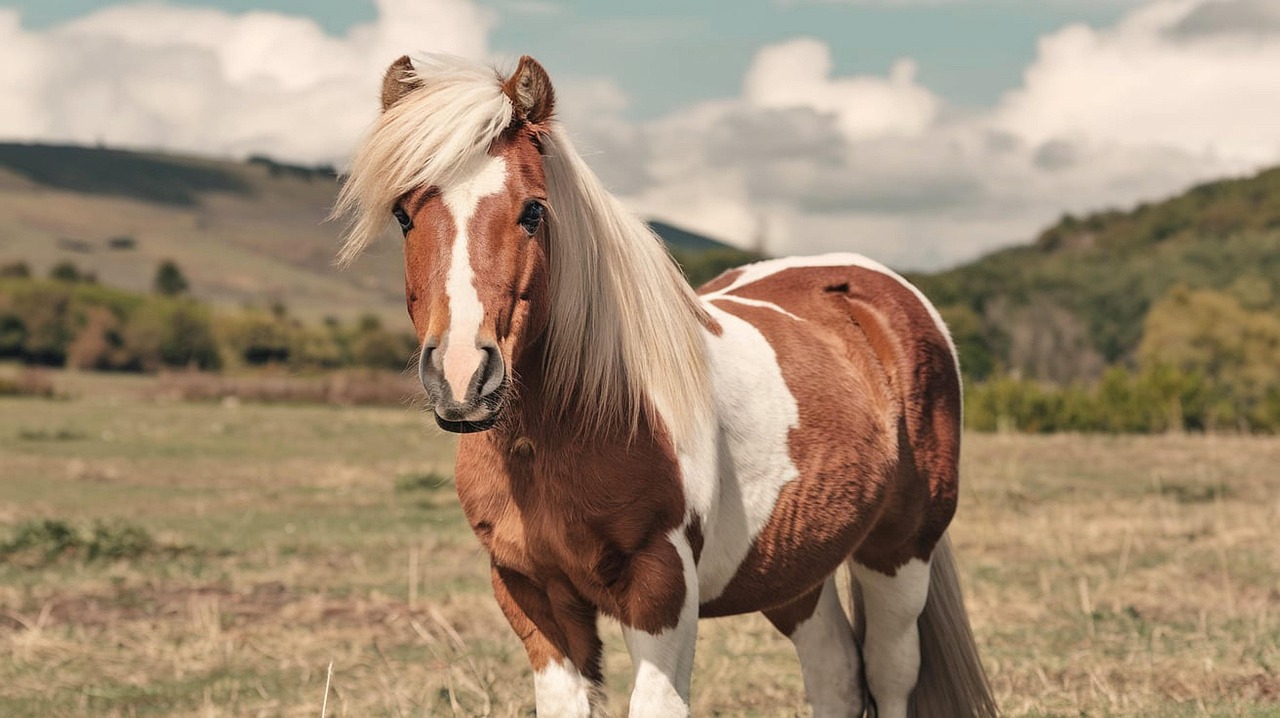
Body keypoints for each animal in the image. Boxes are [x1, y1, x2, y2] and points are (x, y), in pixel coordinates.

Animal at [333, 53, 997, 718]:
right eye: (403, 214)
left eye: (533, 211)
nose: (463, 377)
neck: (568, 427)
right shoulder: (531, 594)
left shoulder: (661, 590)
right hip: (796, 569)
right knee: (836, 671)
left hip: (898, 554)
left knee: (888, 675)